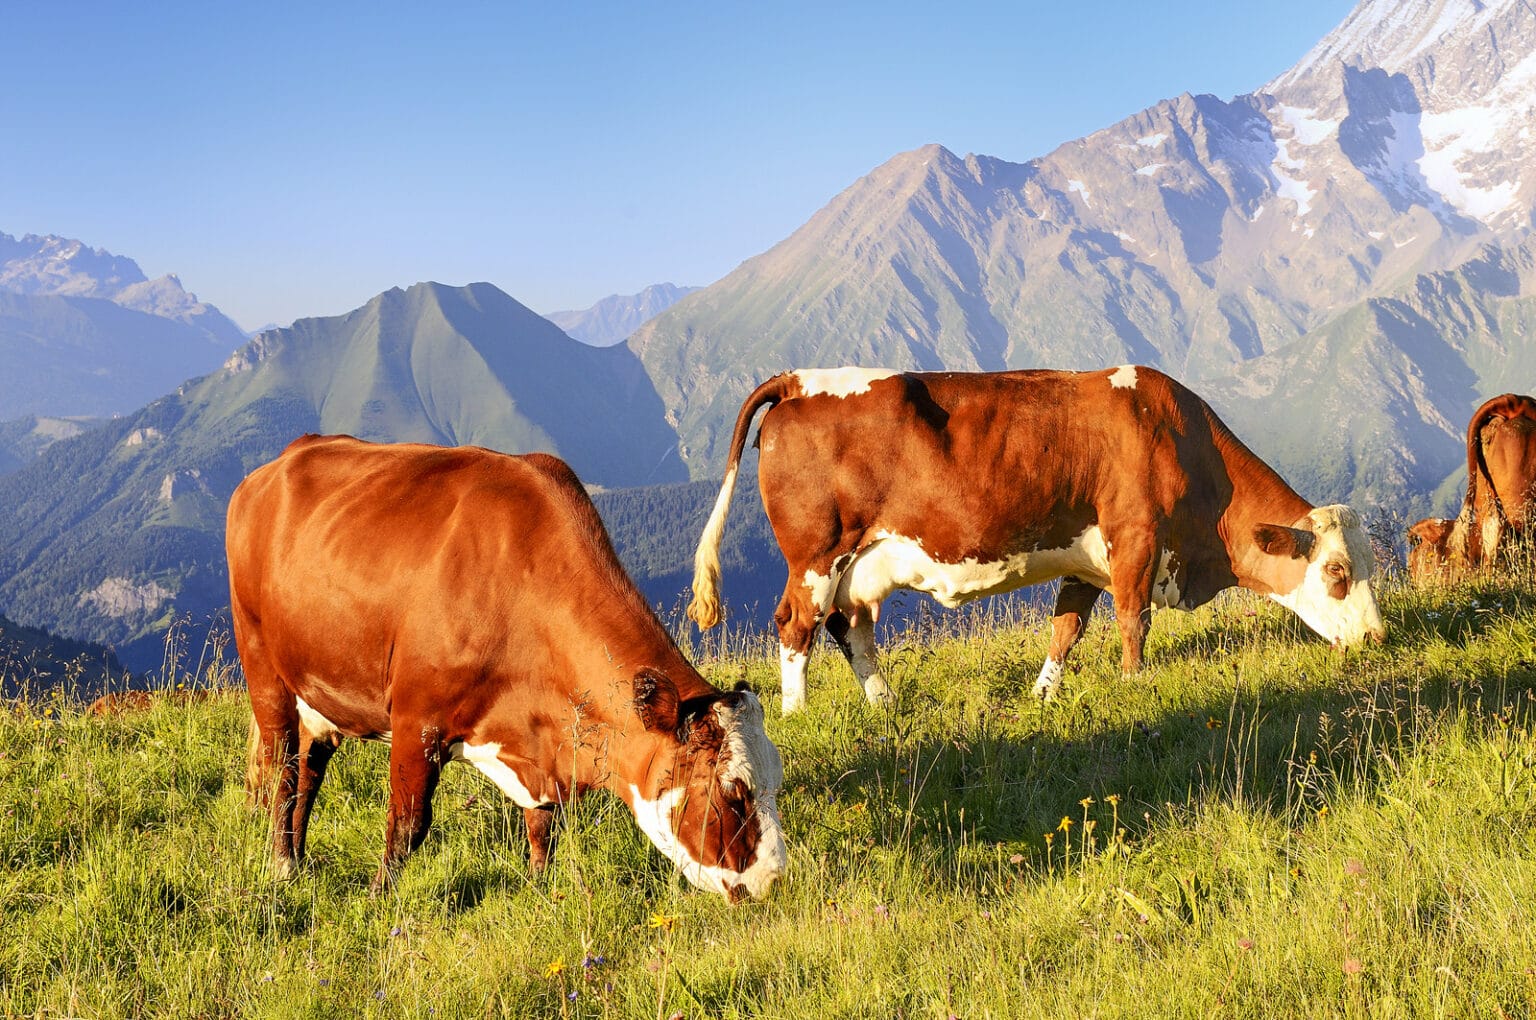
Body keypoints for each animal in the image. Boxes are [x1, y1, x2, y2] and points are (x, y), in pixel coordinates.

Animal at [227, 435, 786, 902]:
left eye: (776, 782)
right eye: (733, 793)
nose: (774, 881)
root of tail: (276, 464)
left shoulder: (542, 750)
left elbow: (544, 826)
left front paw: (538, 889)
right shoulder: (415, 719)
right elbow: (408, 825)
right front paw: (378, 899)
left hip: (318, 692)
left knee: (308, 770)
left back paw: (298, 860)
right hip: (262, 663)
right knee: (282, 768)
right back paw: (282, 866)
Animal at [688, 366, 1386, 713]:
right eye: (1336, 572)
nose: (1379, 637)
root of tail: (796, 380)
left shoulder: (1088, 559)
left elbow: (1067, 627)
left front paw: (1043, 692)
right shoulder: (1135, 539)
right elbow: (1133, 620)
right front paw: (1134, 684)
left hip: (858, 564)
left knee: (847, 626)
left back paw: (884, 703)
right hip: (815, 553)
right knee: (795, 623)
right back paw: (797, 712)